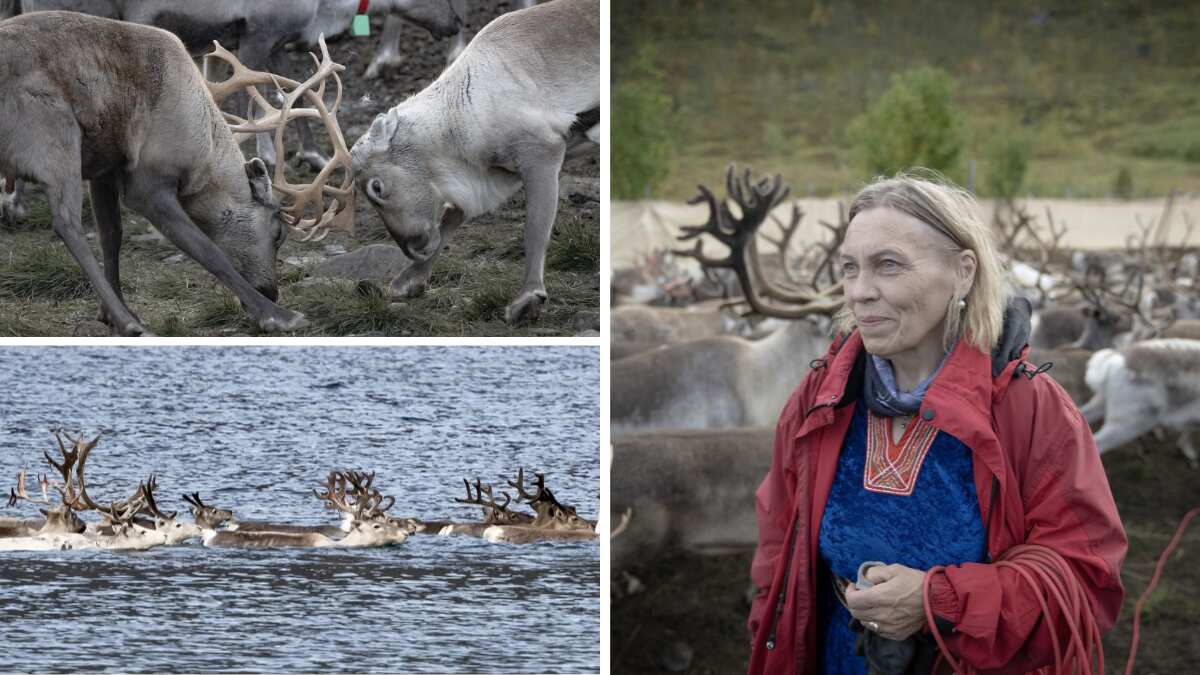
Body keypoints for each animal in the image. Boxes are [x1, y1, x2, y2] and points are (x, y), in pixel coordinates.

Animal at [0, 12, 354, 335]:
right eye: (278, 232)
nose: (271, 291)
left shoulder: (104, 168)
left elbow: (111, 236)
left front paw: (109, 313)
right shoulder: (148, 185)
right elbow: (208, 251)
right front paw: (277, 316)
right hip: (56, 135)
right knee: (66, 222)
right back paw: (131, 324)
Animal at [350, 0, 599, 324]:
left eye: (376, 188)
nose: (413, 248)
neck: (454, 114)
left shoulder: (542, 151)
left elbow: (535, 230)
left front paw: (527, 298)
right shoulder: (494, 175)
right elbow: (449, 221)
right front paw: (407, 281)